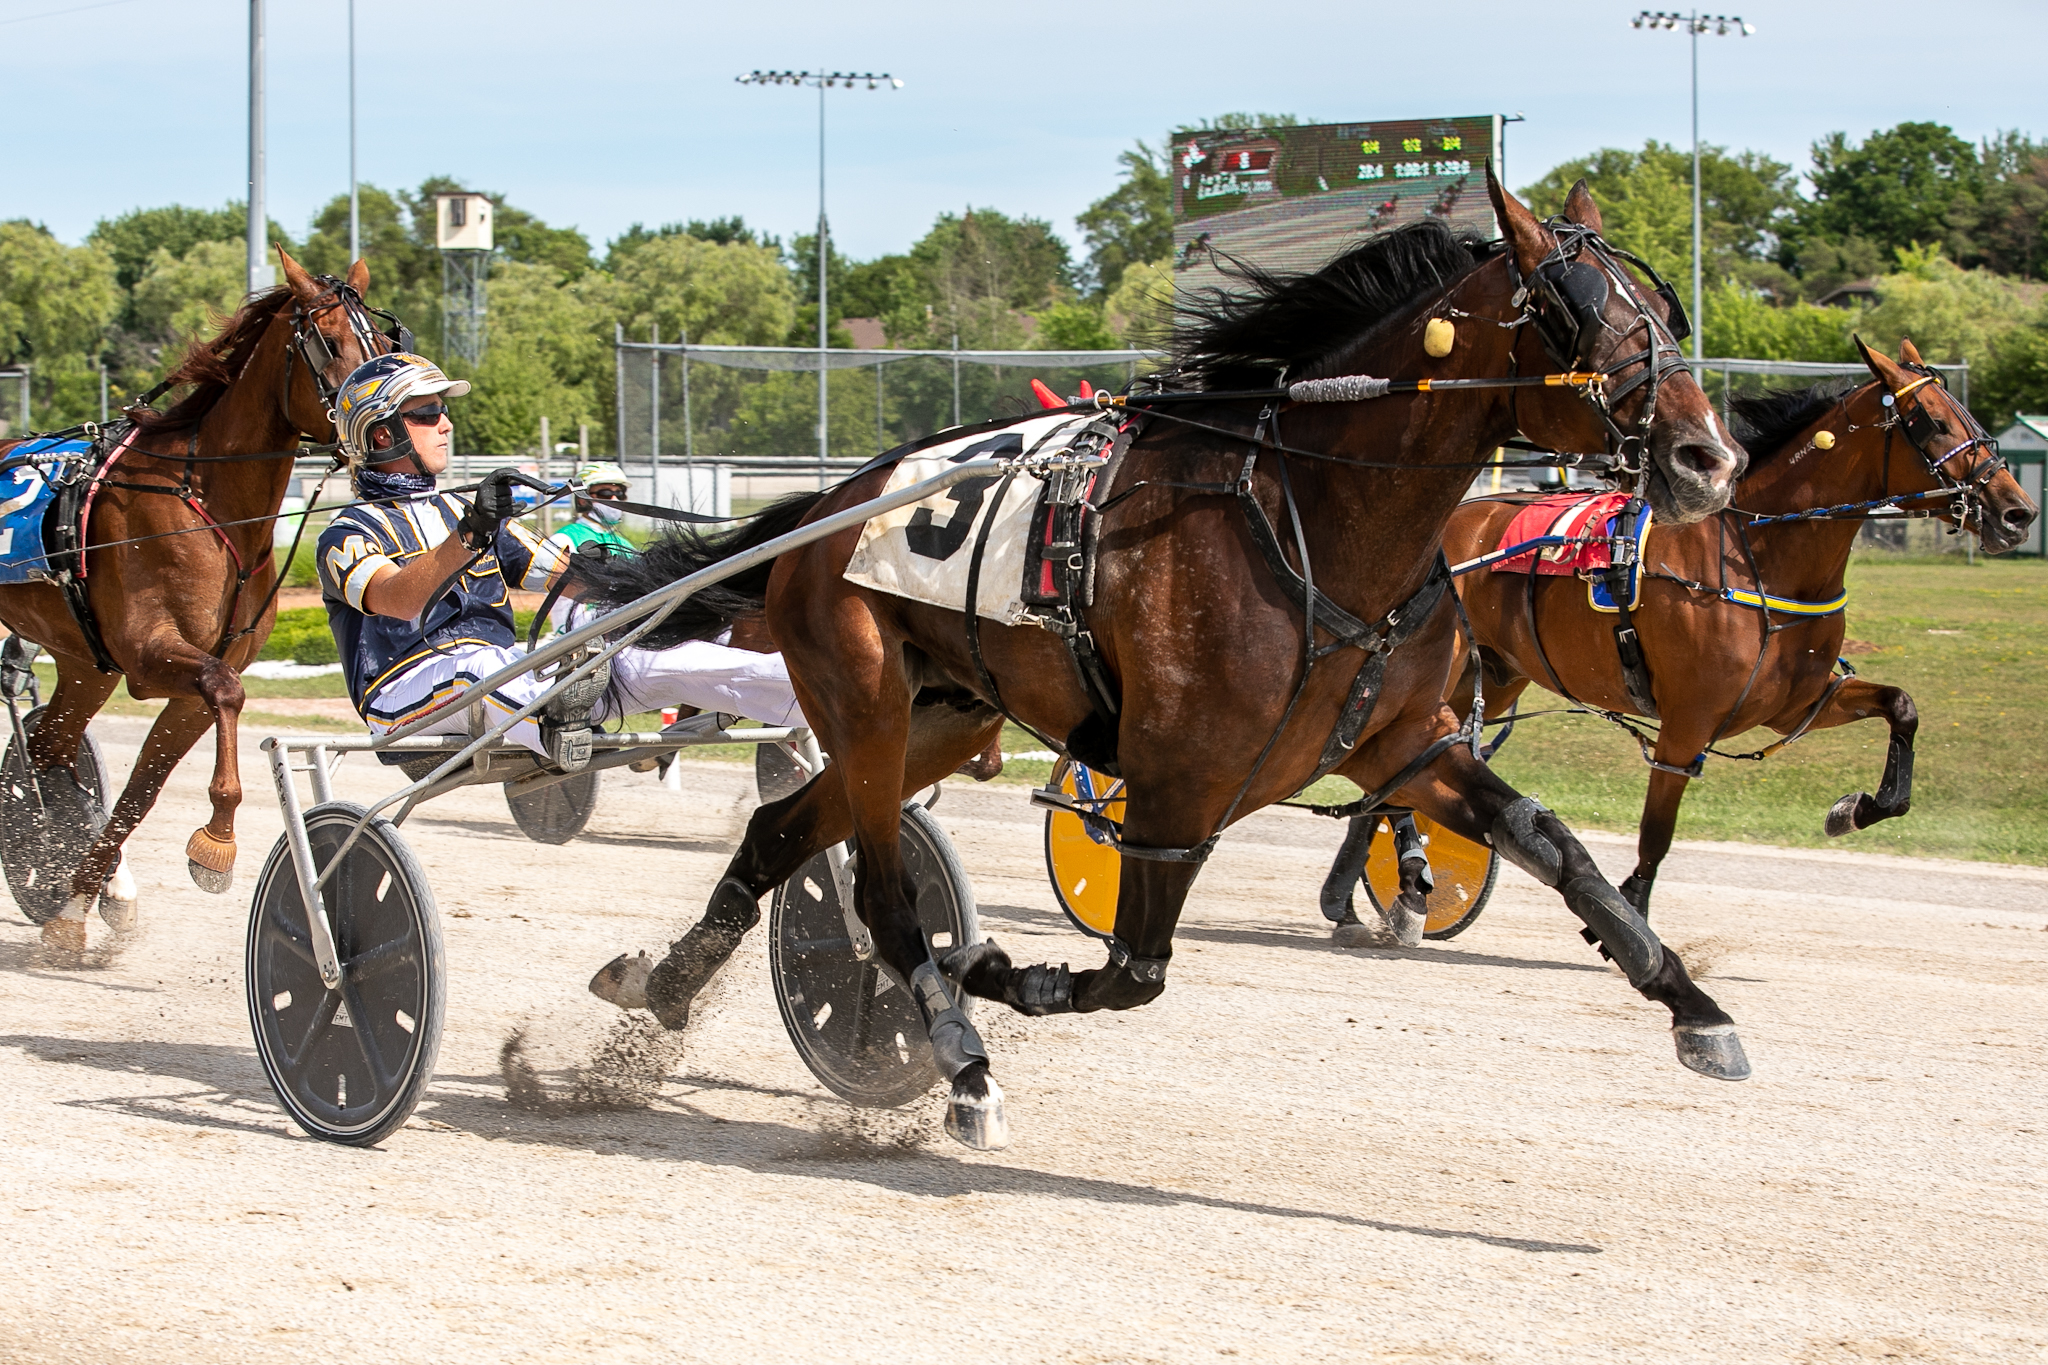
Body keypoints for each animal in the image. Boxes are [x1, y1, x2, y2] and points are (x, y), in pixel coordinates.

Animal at [0, 248, 398, 948]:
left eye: (380, 341)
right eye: (328, 342)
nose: (387, 431)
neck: (208, 499)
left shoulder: (184, 676)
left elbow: (142, 790)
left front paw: (80, 905)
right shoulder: (148, 652)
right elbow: (225, 695)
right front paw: (217, 843)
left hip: (84, 664)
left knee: (49, 746)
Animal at [583, 176, 1751, 1149]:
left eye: (1662, 314)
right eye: (1571, 309)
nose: (1709, 458)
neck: (1311, 517)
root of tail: (836, 499)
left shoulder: (1404, 747)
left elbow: (1557, 847)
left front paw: (1695, 1008)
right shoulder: (1179, 781)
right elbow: (1132, 969)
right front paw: (992, 965)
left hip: (945, 715)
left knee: (781, 830)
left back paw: (666, 984)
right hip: (864, 699)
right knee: (876, 894)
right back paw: (961, 1060)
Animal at [1436, 336, 2036, 921]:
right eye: (1933, 421)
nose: (2018, 512)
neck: (1757, 556)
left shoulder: (1797, 705)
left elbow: (1901, 707)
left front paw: (1855, 809)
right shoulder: (1686, 726)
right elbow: (1655, 835)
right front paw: (1631, 913)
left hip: (1499, 673)